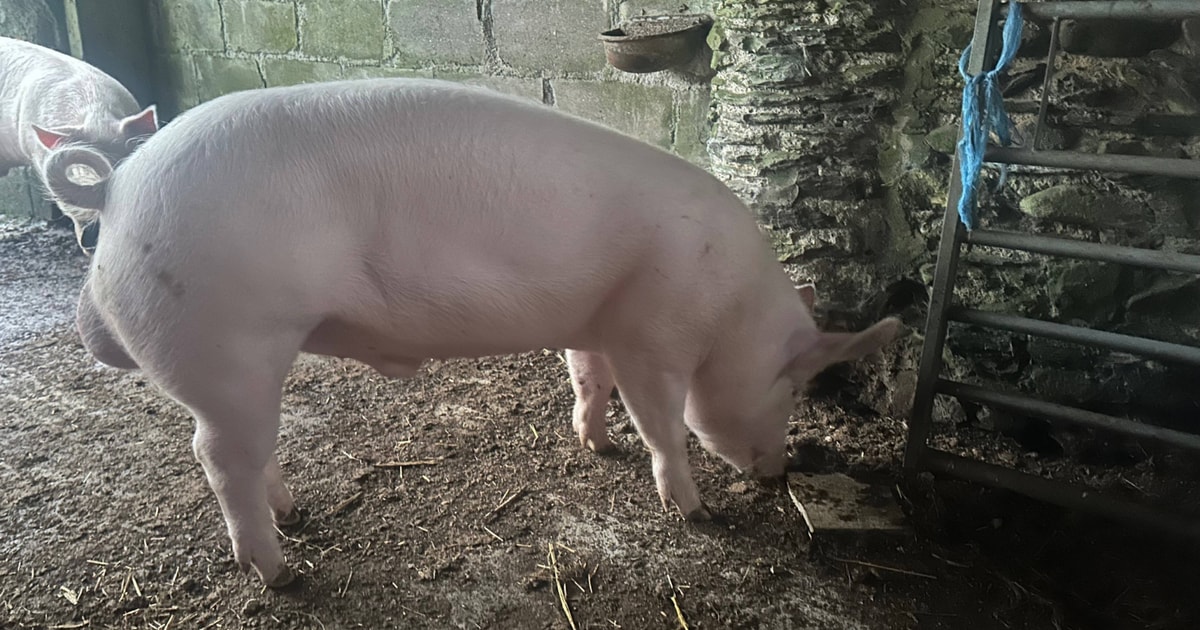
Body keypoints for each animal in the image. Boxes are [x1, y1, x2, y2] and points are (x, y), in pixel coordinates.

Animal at [42, 78, 899, 588]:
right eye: (792, 385)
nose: (780, 471)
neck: (729, 306)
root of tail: (119, 188)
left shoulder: (596, 318)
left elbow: (586, 376)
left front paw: (596, 445)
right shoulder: (654, 335)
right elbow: (662, 423)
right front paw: (694, 512)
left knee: (249, 453)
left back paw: (294, 514)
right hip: (226, 343)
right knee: (216, 457)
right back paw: (277, 572)